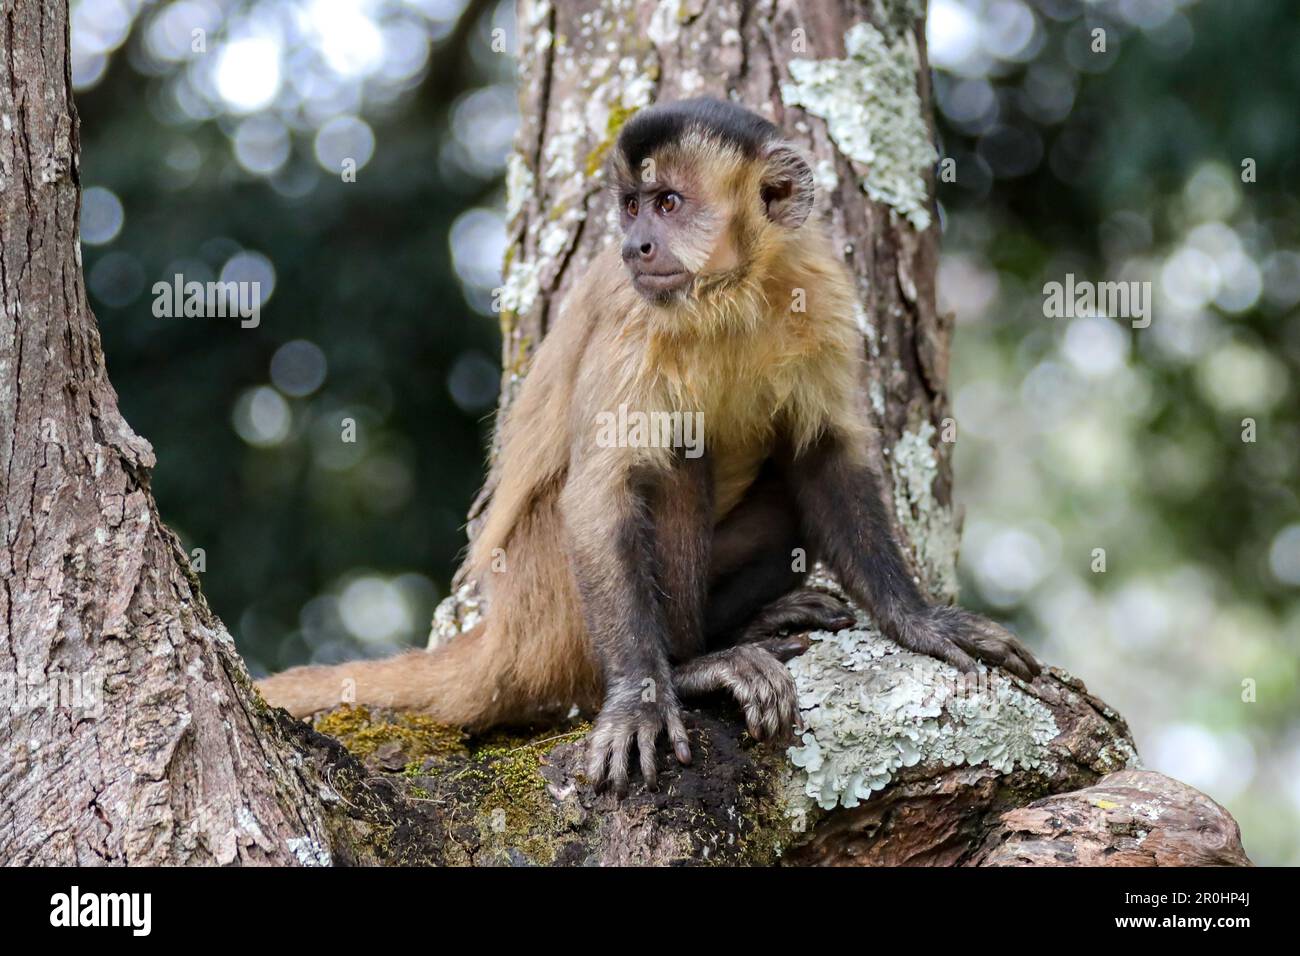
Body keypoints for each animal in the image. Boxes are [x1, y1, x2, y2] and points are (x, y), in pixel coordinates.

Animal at [257, 97, 1040, 796]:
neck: (730, 293)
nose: (635, 244)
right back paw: (695, 665)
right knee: (671, 462)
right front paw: (641, 698)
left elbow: (822, 455)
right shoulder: (635, 321)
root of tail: (501, 631)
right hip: (550, 607)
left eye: (666, 204)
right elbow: (601, 492)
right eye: (631, 207)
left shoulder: (818, 286)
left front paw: (918, 619)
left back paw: (743, 625)